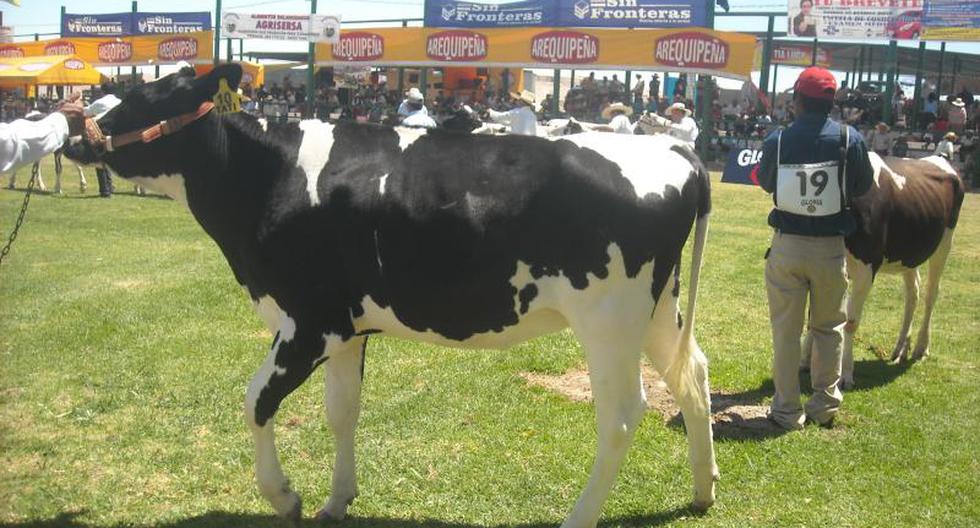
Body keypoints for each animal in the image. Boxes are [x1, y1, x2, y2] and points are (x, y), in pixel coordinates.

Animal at [64, 64, 717, 528]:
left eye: (145, 98)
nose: (73, 133)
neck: (267, 177)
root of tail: (674, 149)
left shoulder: (310, 319)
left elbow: (256, 401)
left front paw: (285, 497)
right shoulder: (348, 327)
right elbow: (342, 409)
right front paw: (336, 500)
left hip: (609, 320)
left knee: (622, 415)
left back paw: (579, 517)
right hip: (658, 310)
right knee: (692, 375)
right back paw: (703, 490)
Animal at [802, 153, 964, 389]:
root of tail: (938, 158)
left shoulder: (866, 268)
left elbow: (850, 322)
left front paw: (845, 374)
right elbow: (815, 317)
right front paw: (806, 361)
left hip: (944, 243)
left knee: (931, 293)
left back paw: (920, 347)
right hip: (909, 252)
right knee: (913, 293)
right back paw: (901, 348)